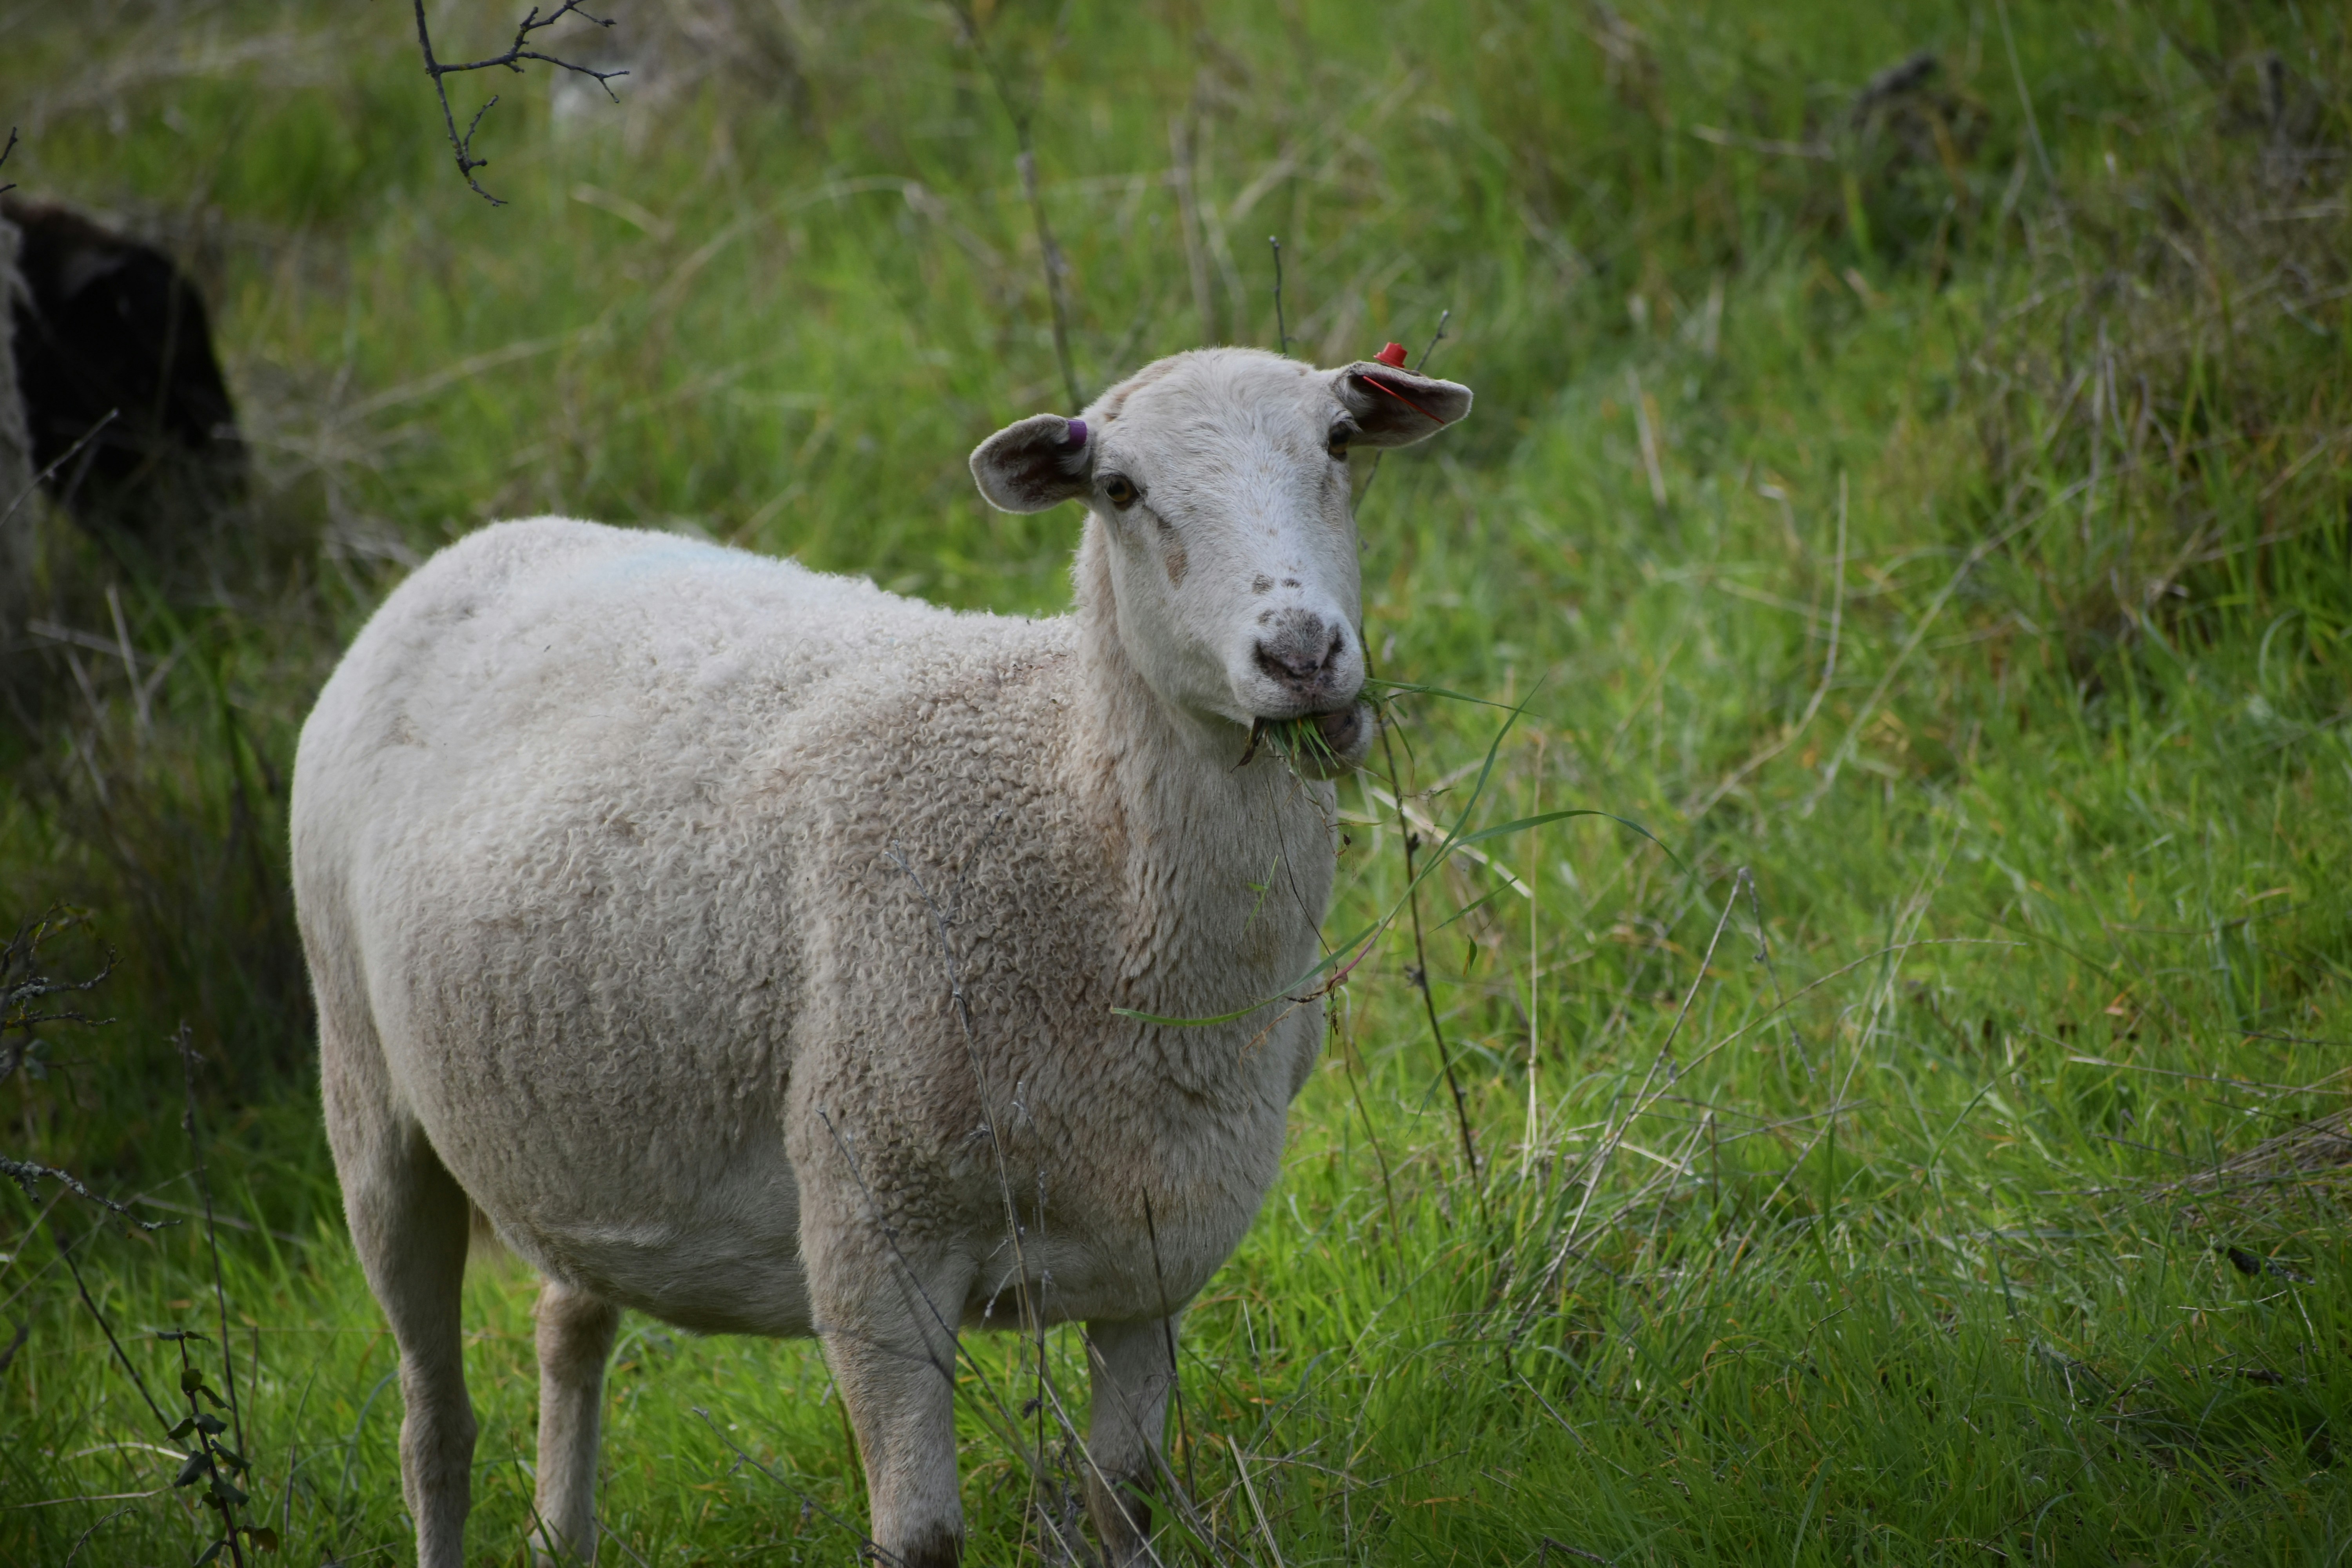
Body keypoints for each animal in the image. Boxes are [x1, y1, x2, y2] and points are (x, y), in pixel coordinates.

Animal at [289, 345, 1471, 1568]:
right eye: (1120, 490)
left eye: (1339, 442)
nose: (1302, 655)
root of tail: (471, 549)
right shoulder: (872, 1231)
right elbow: (921, 1538)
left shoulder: (1156, 1250)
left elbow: (1124, 1503)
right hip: (367, 1097)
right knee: (433, 1423)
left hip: (584, 1134)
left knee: (568, 1322)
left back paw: (562, 1535)